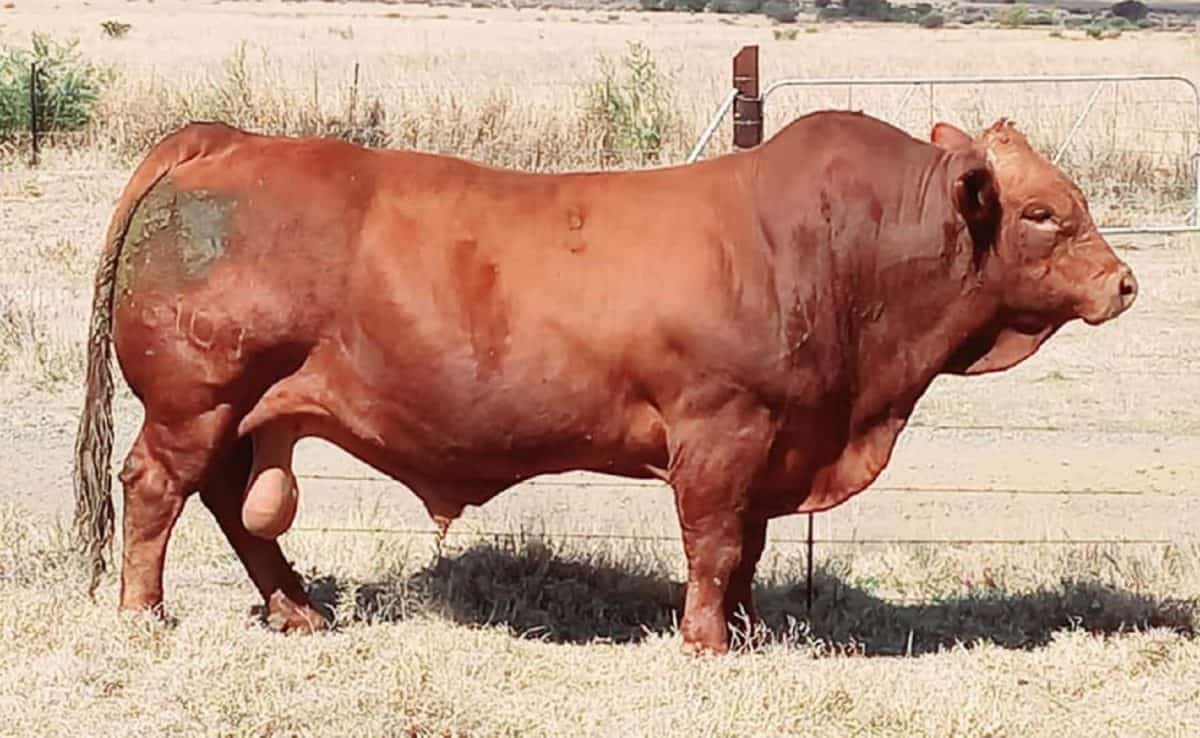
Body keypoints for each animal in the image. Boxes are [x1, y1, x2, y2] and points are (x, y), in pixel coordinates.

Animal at [72, 111, 1137, 655]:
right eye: (1045, 213)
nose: (1124, 281)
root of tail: (227, 137)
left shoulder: (771, 444)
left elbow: (748, 552)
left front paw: (748, 633)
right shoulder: (720, 432)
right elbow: (714, 547)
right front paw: (706, 645)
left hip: (236, 410)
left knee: (228, 504)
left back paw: (296, 610)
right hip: (195, 399)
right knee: (158, 490)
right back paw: (144, 615)